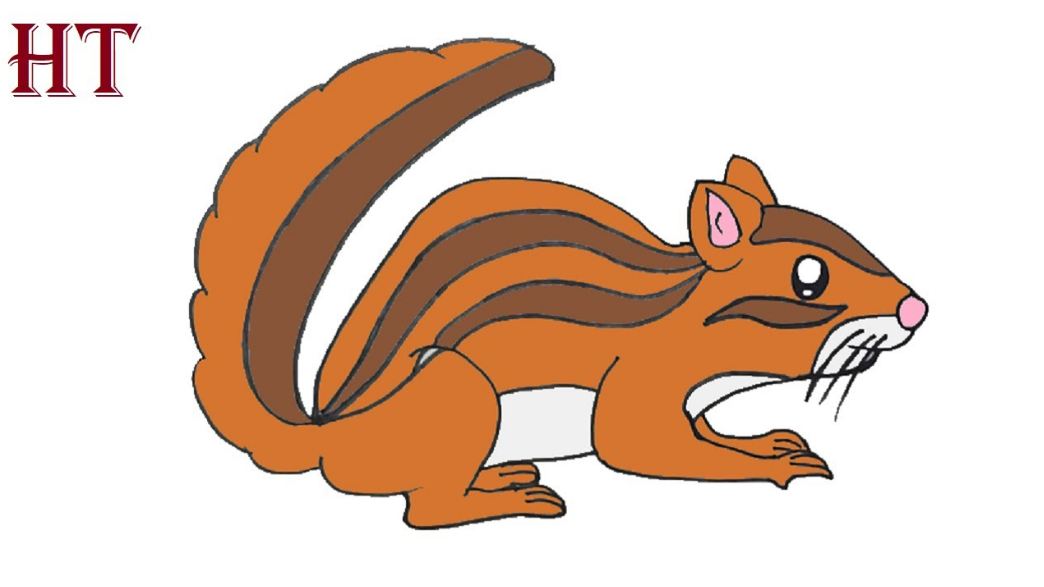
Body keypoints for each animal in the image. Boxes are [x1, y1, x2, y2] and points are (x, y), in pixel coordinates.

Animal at [191, 39, 928, 528]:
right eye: (809, 277)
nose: (915, 308)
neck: (690, 323)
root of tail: (333, 435)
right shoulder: (640, 385)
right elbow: (639, 447)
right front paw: (770, 465)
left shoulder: (690, 403)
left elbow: (706, 436)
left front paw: (761, 442)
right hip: (462, 396)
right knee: (424, 511)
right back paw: (506, 498)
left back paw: (502, 474)